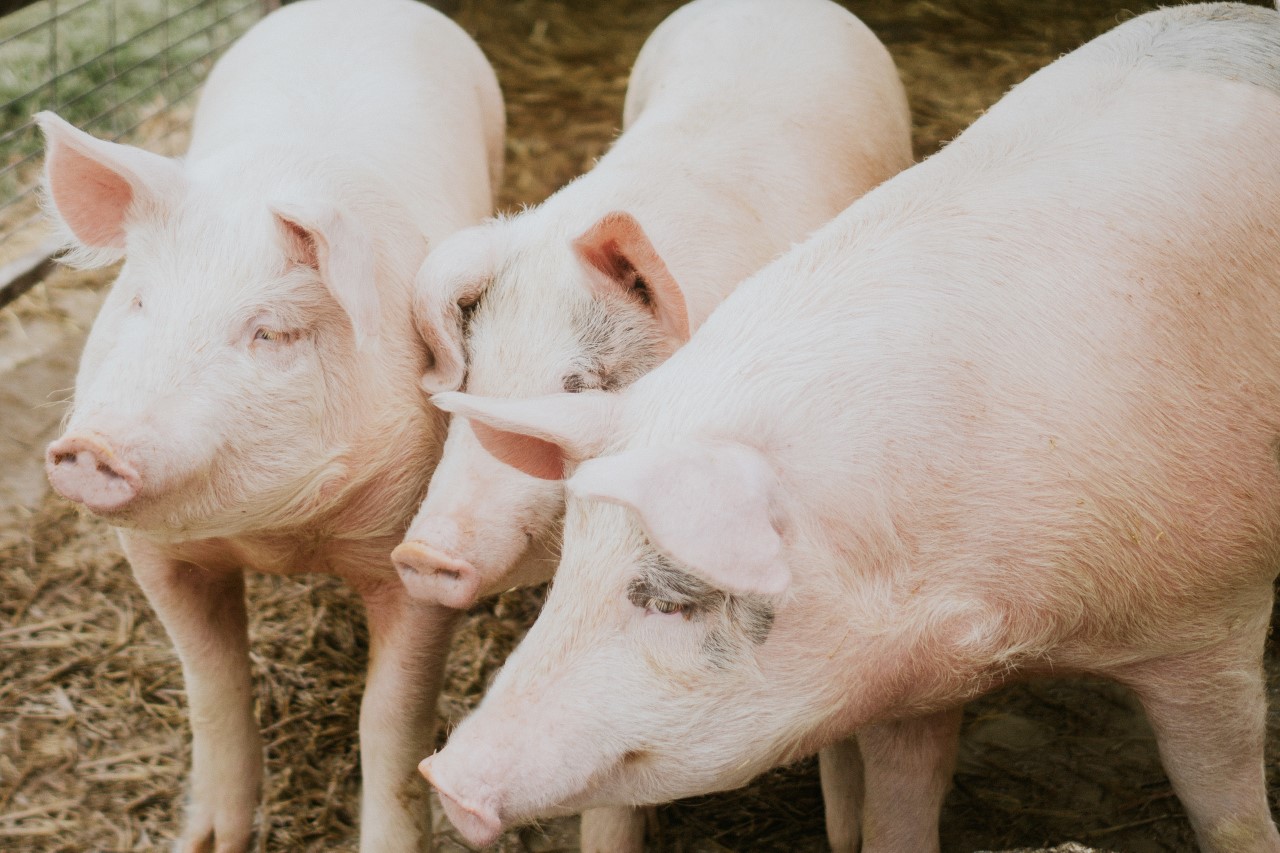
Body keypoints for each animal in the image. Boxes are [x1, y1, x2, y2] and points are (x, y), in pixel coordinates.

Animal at [38, 0, 503, 850]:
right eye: (139, 300)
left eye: (271, 333)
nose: (91, 447)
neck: (278, 538)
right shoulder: (154, 554)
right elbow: (211, 685)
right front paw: (205, 841)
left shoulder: (418, 553)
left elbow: (393, 721)